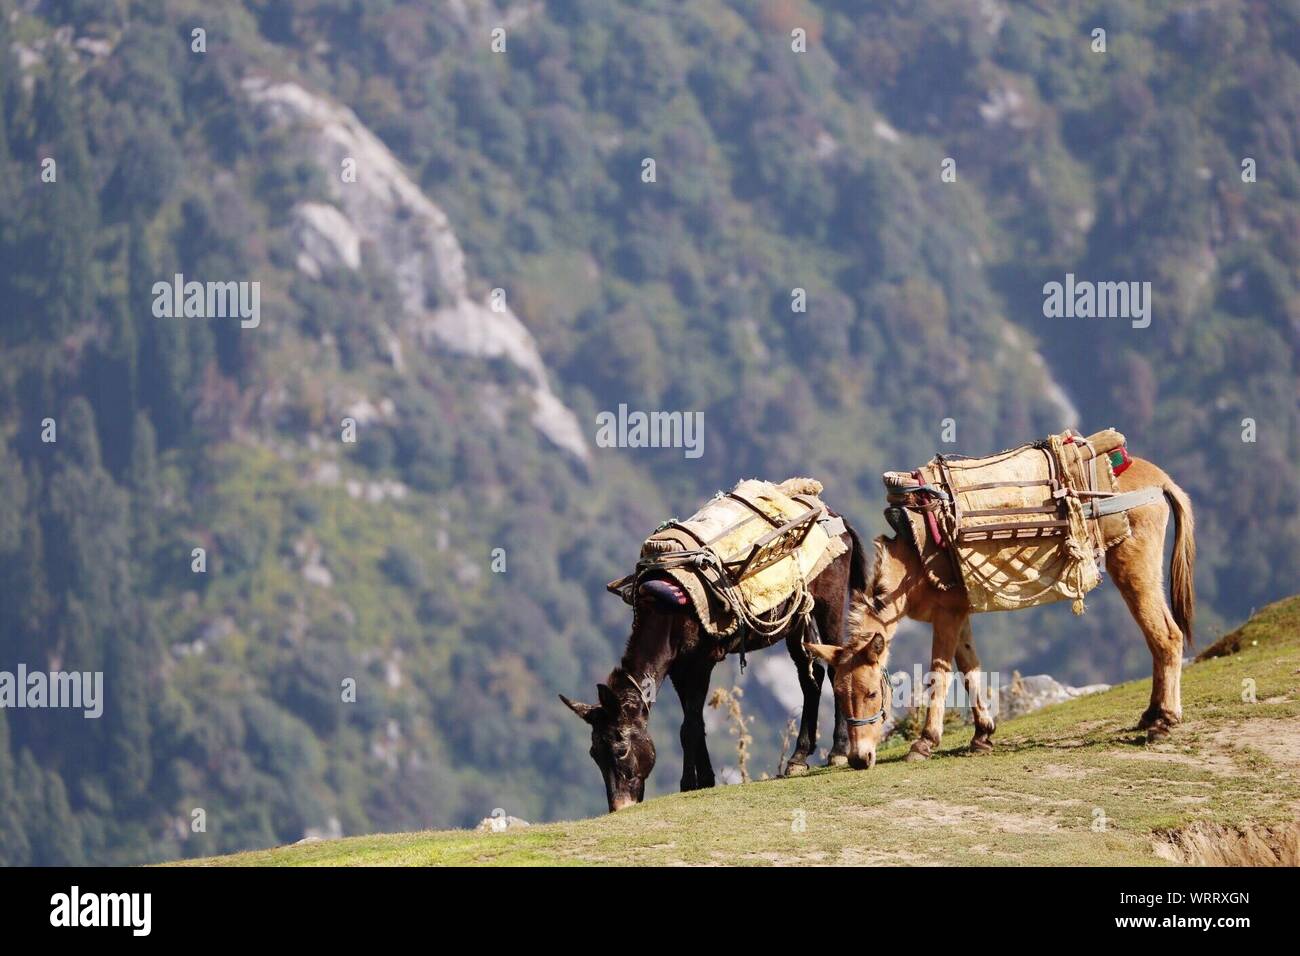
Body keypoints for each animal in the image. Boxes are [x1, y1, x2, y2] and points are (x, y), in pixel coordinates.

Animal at [562, 517, 868, 811]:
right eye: (594, 754)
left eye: (620, 749)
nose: (619, 807)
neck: (666, 615)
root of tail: (835, 517)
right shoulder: (679, 669)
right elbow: (693, 724)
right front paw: (699, 780)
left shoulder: (702, 663)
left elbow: (690, 727)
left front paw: (693, 783)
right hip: (795, 618)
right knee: (810, 677)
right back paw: (798, 758)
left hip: (830, 602)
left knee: (836, 667)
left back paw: (838, 751)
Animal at [805, 456, 1195, 769]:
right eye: (840, 696)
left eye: (872, 694)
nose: (859, 759)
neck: (913, 560)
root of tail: (1159, 478)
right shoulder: (958, 613)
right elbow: (970, 670)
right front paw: (983, 734)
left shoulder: (946, 616)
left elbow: (940, 675)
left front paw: (925, 742)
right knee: (1156, 638)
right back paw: (1151, 716)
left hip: (1134, 568)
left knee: (1167, 636)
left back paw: (1165, 721)